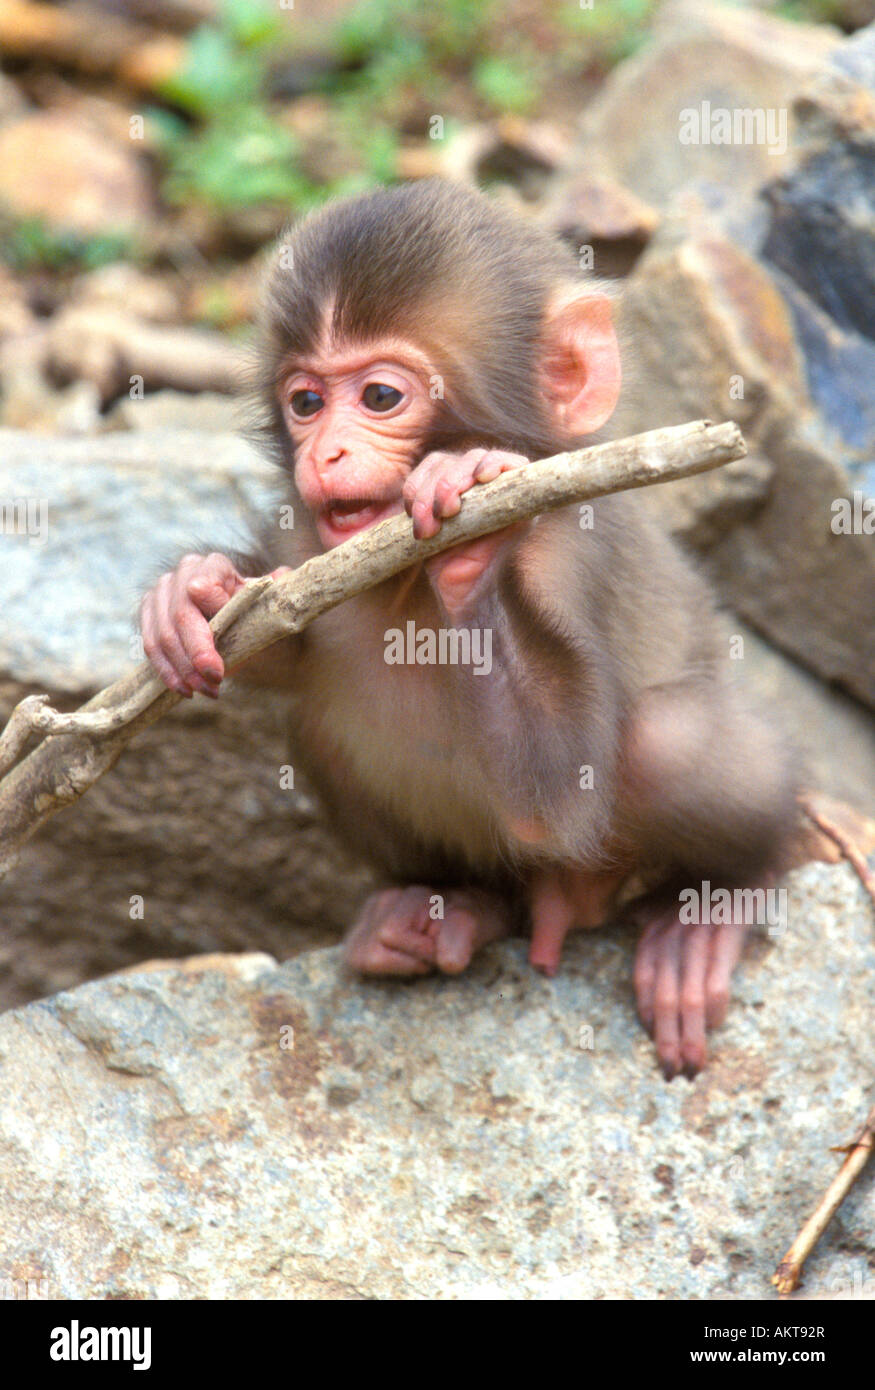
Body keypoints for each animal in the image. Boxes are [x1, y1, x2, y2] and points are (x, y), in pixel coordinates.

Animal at [140, 178, 797, 1080]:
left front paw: (467, 521)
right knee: (325, 730)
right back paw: (455, 909)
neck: (405, 587)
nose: (325, 453)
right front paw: (193, 591)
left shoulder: (566, 550)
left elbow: (556, 795)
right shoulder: (311, 546)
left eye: (380, 398)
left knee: (665, 742)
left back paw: (711, 912)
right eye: (305, 402)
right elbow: (285, 638)